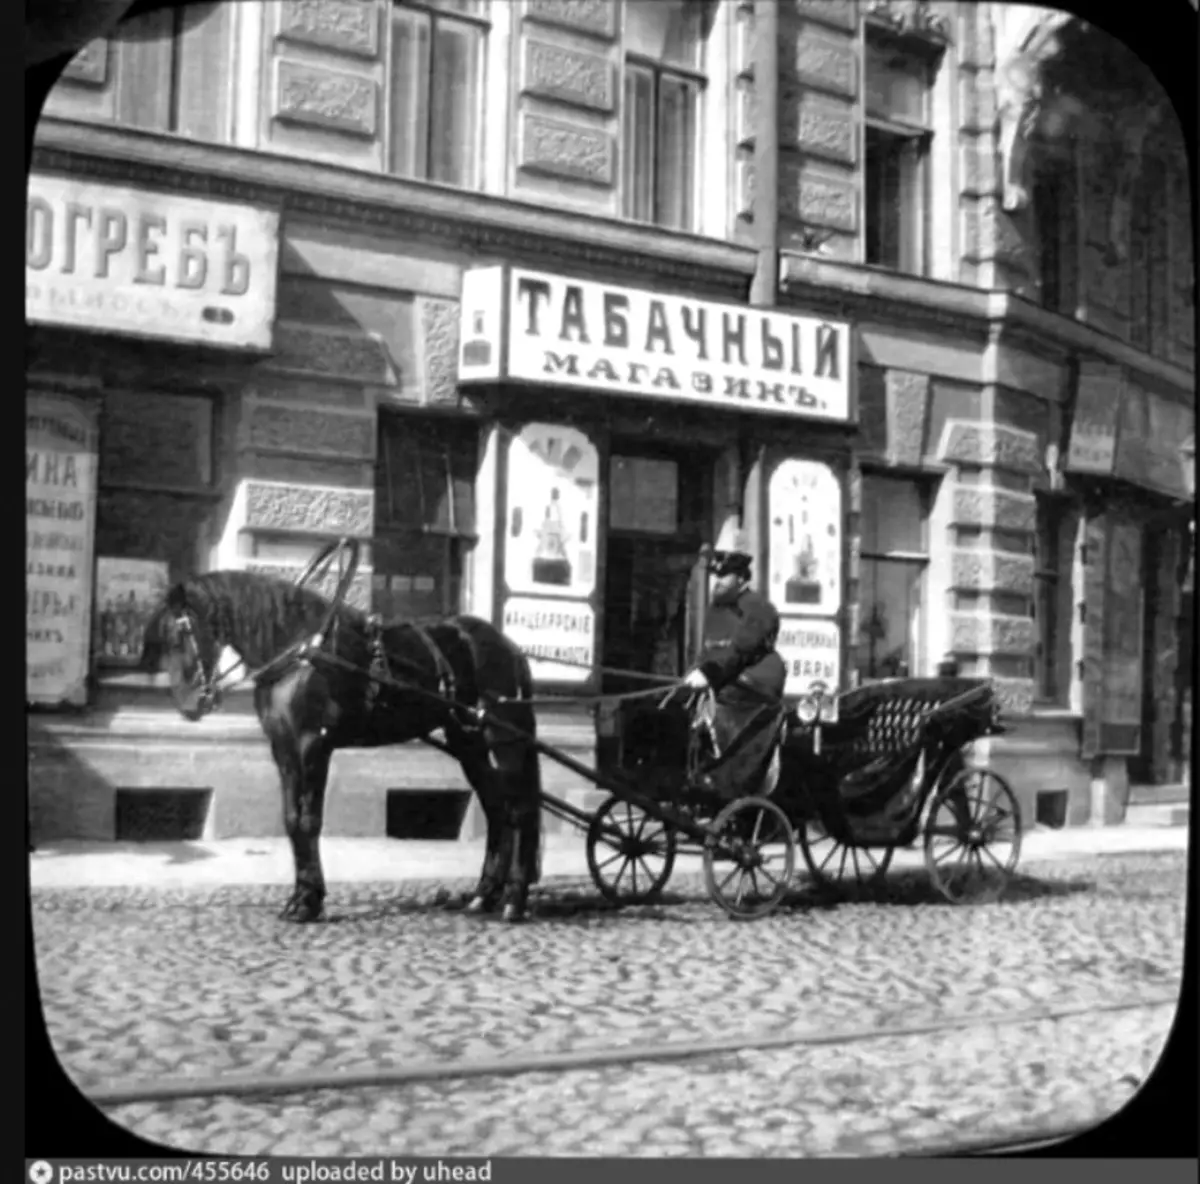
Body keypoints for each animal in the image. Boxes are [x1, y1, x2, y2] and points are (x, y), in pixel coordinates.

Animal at [141, 556, 549, 926]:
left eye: (181, 633)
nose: (190, 704)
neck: (298, 650)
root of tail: (509, 646)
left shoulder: (313, 746)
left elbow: (309, 820)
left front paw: (309, 902)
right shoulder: (284, 749)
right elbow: (292, 819)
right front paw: (300, 897)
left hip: (505, 740)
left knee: (521, 809)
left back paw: (514, 899)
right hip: (469, 743)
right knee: (497, 809)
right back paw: (483, 896)